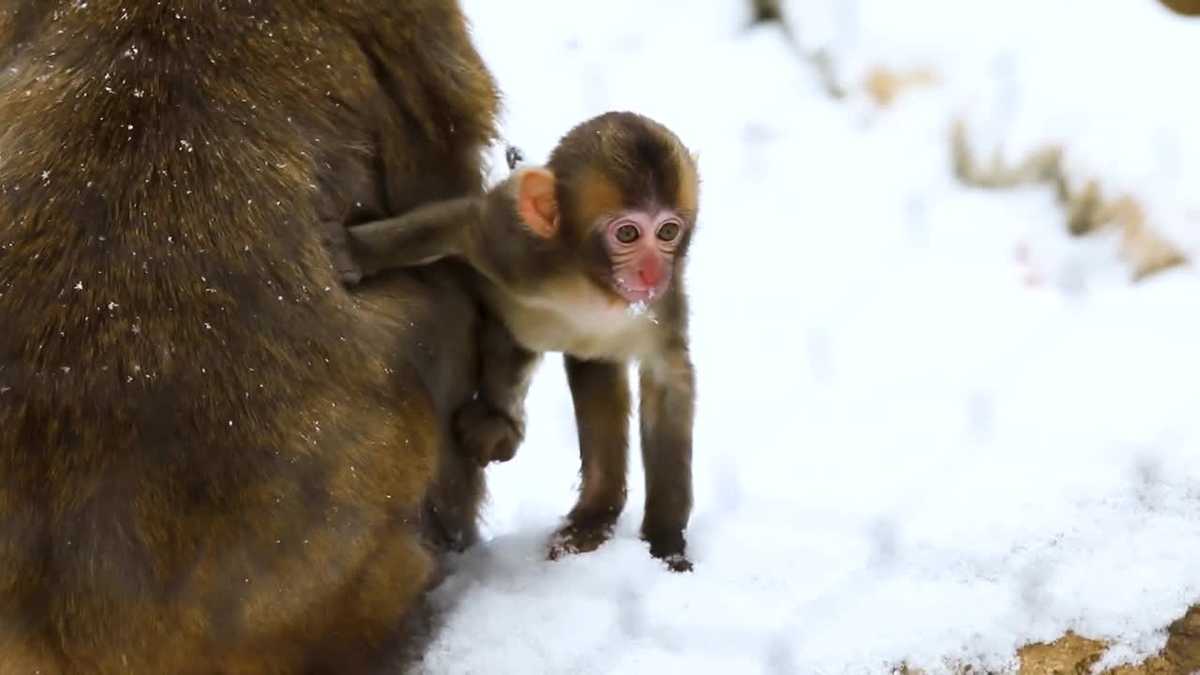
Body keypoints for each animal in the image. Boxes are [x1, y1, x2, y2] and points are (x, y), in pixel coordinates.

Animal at [339, 112, 700, 572]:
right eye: (628, 235)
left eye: (669, 230)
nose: (653, 272)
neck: (592, 288)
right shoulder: (515, 248)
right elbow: (464, 221)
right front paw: (357, 250)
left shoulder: (662, 304)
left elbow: (668, 379)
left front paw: (665, 541)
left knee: (595, 367)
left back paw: (592, 518)